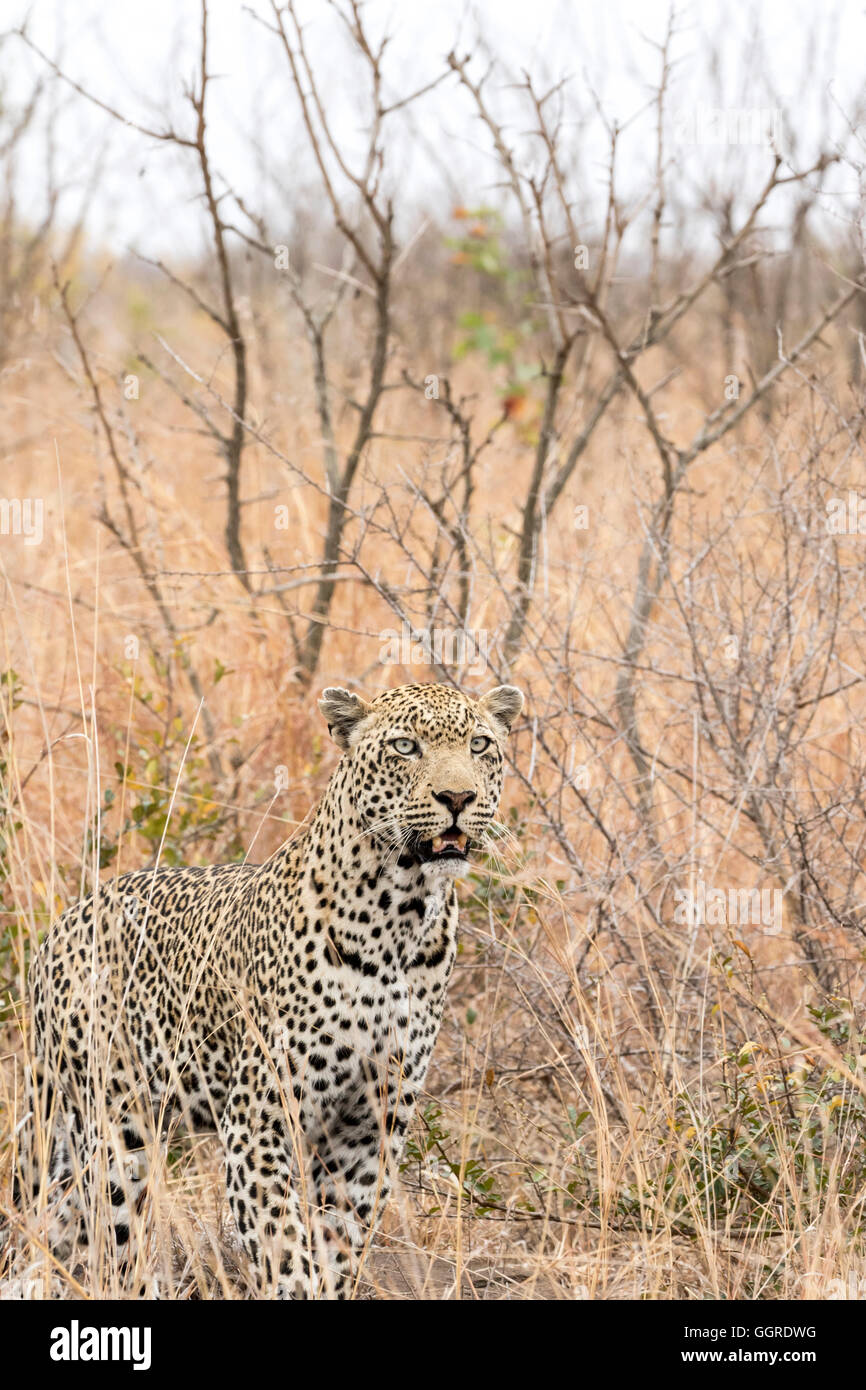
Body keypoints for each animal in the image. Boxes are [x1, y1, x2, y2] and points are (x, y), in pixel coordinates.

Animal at [15, 681, 523, 1298]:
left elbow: (338, 1248)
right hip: (115, 1127)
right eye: (405, 746)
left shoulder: (371, 1128)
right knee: (112, 1242)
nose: (457, 796)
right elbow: (283, 1246)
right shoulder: (259, 1119)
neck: (403, 915)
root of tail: (60, 924)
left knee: (59, 1227)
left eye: (480, 745)